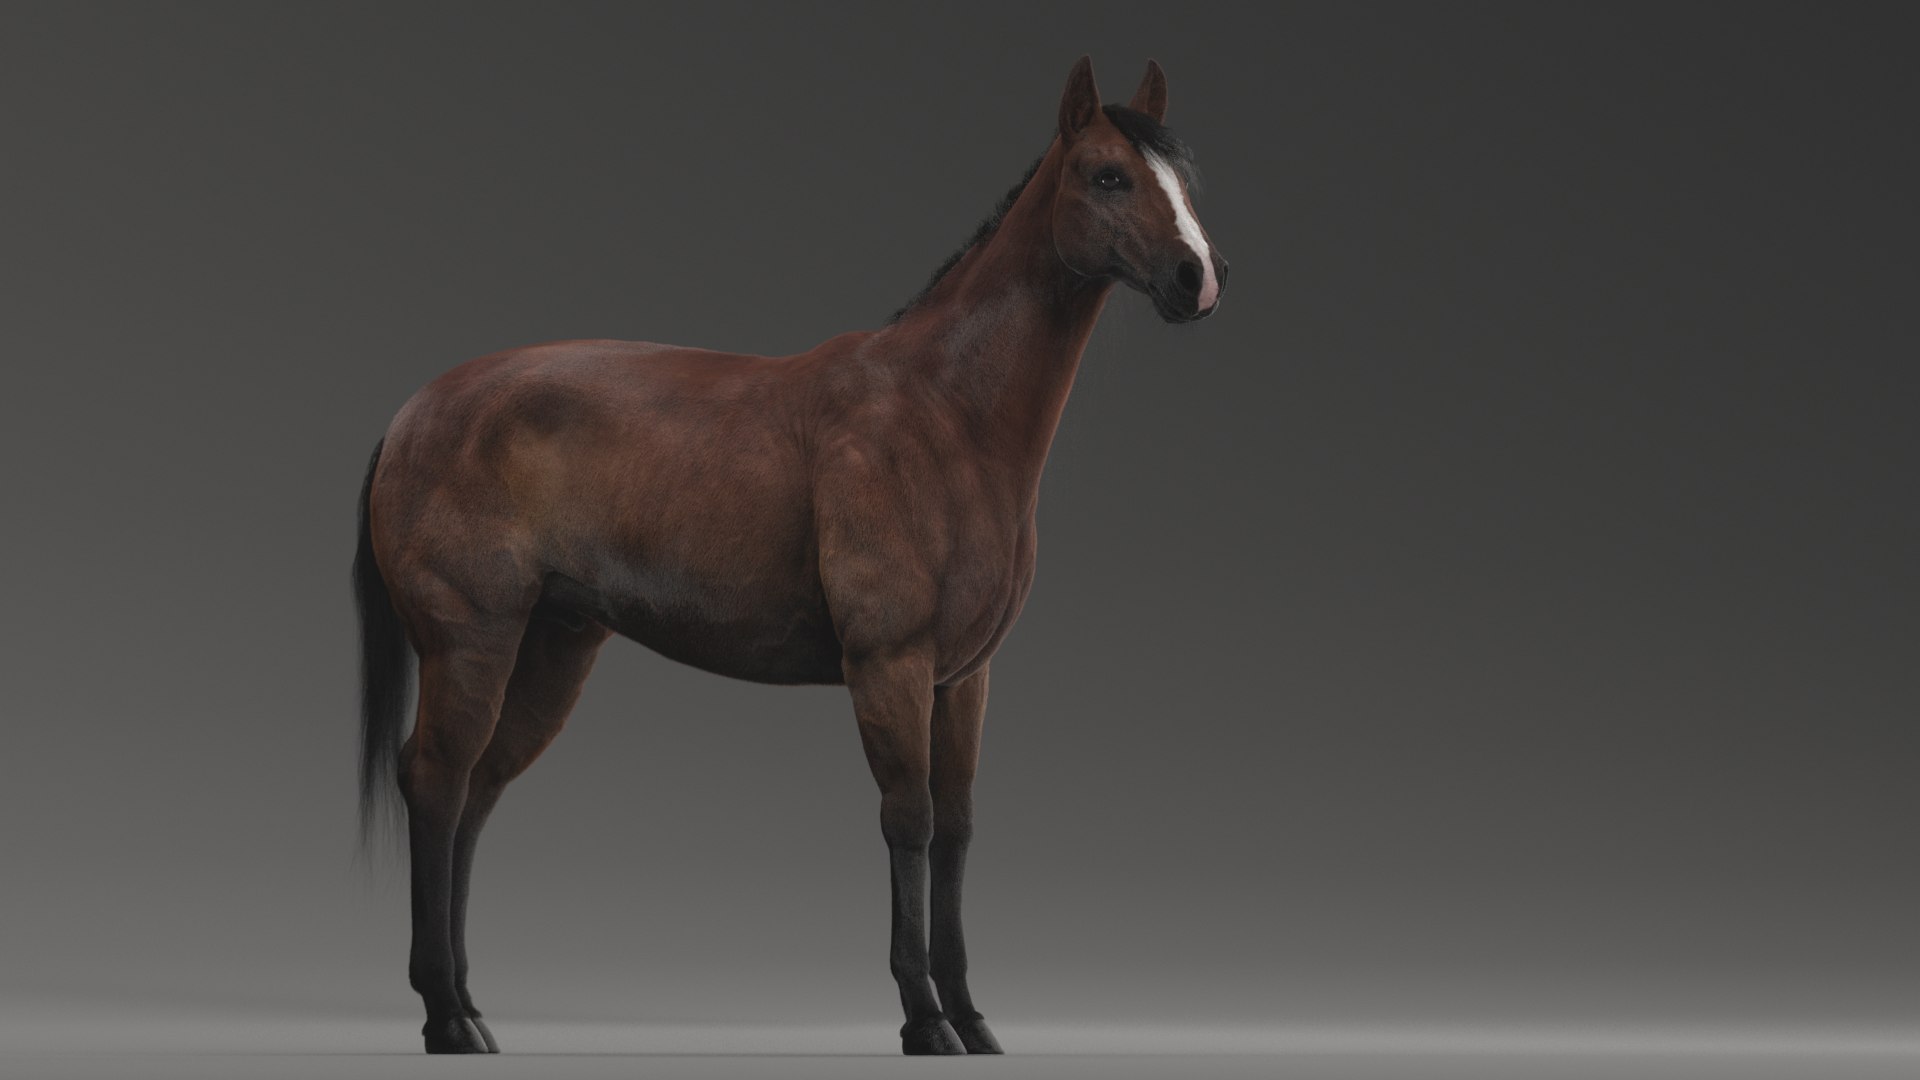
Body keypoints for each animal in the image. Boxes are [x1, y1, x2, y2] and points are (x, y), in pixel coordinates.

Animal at [352, 55, 1227, 1056]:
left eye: (1181, 180)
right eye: (1108, 175)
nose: (1201, 278)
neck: (945, 415)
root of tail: (414, 411)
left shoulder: (965, 677)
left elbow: (959, 828)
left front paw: (972, 1018)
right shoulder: (889, 665)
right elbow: (910, 820)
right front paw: (925, 1019)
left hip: (550, 648)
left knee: (477, 792)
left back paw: (470, 1009)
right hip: (472, 642)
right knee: (436, 782)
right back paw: (444, 1015)